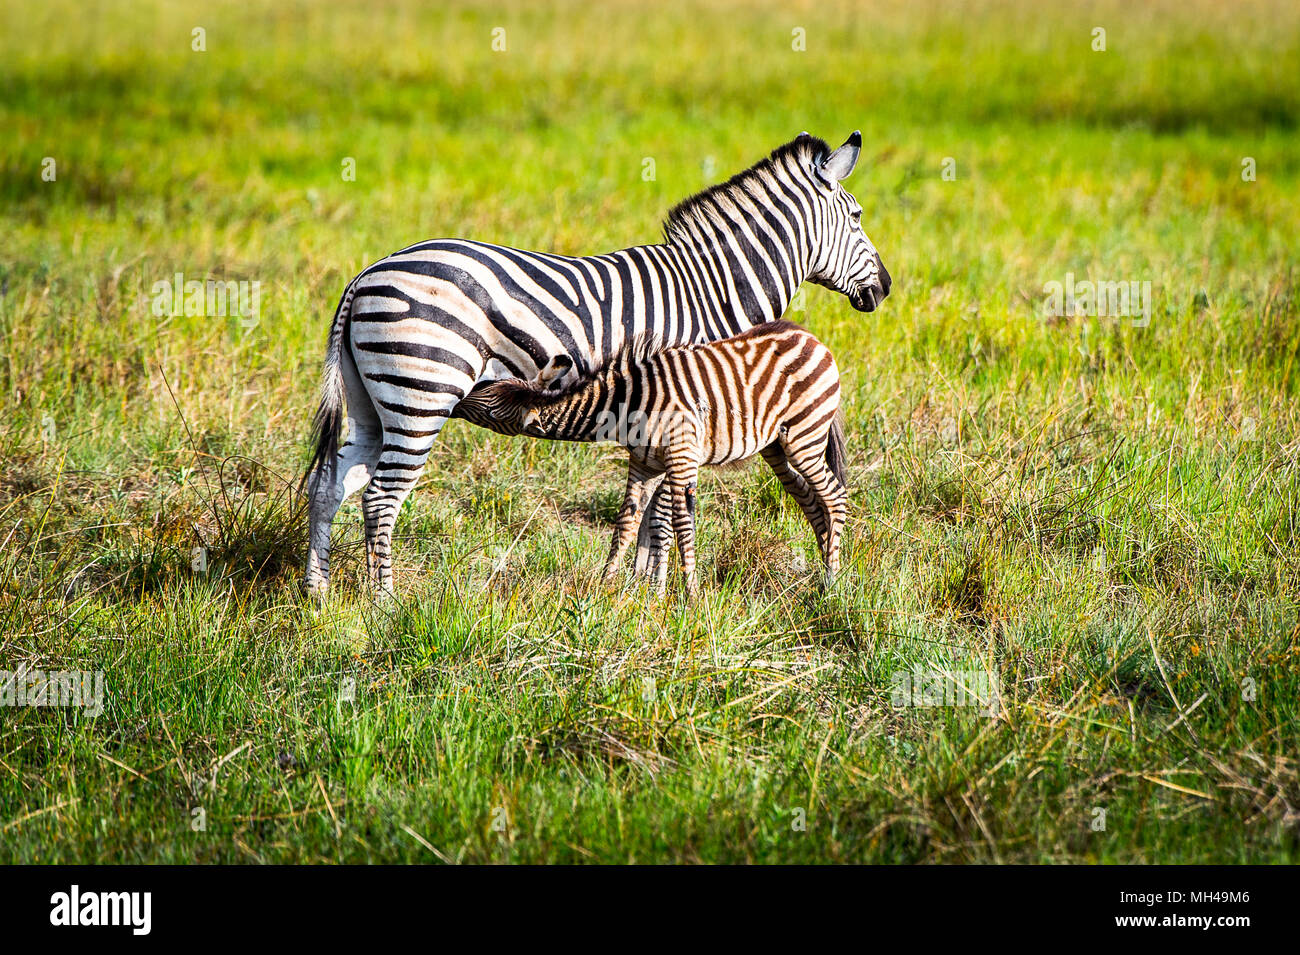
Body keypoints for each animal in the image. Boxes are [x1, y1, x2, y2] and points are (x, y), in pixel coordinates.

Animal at [457, 320, 847, 594]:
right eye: (485, 389)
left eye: (488, 407)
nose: (454, 399)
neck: (626, 403)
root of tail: (812, 338)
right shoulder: (645, 465)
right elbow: (627, 523)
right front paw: (605, 584)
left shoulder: (681, 457)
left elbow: (682, 524)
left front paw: (691, 595)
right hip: (777, 448)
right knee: (812, 502)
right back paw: (822, 568)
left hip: (805, 436)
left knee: (835, 496)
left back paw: (831, 581)